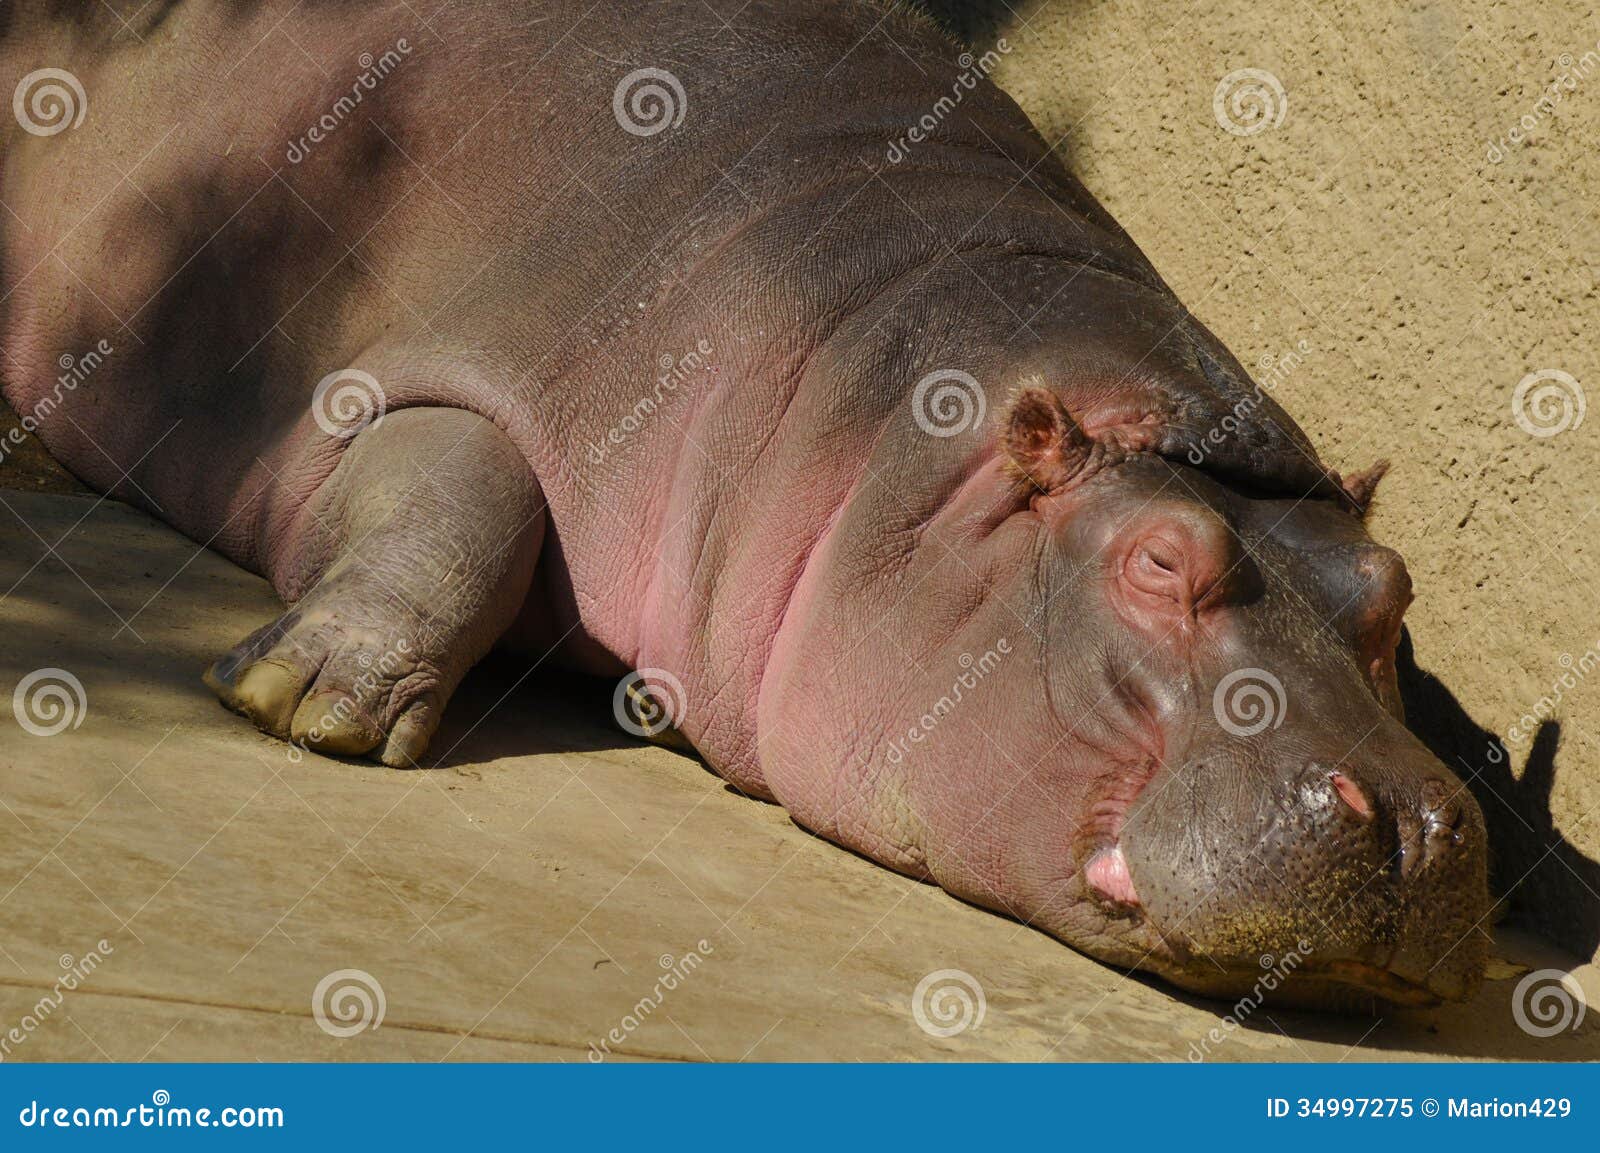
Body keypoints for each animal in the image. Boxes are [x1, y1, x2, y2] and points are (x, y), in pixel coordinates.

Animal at [1, 0, 1487, 1008]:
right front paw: (309, 703)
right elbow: (472, 487)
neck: (893, 440)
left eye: (1393, 591)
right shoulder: (427, 366)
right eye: (1160, 563)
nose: (1425, 825)